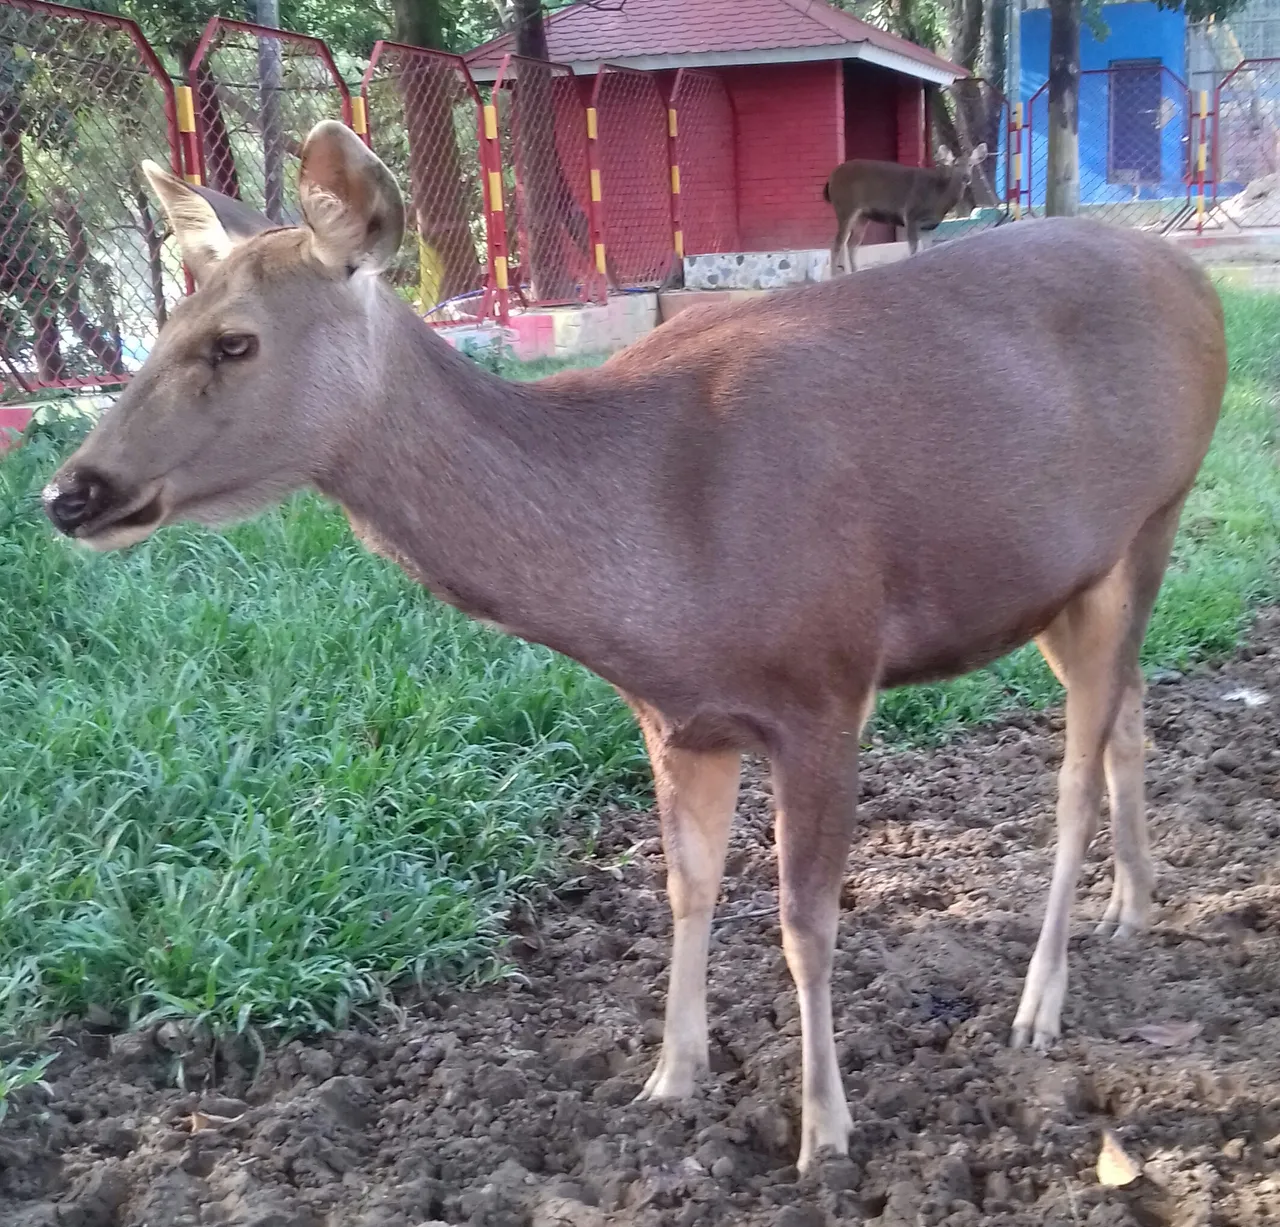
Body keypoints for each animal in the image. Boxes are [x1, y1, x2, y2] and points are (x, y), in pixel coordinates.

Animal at [824, 143, 989, 275]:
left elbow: (927, 249)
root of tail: (831, 177)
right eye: (956, 165)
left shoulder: (928, 226)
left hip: (863, 216)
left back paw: (854, 271)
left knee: (852, 244)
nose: (966, 178)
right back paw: (834, 276)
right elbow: (913, 248)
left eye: (971, 164)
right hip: (845, 206)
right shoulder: (910, 215)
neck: (938, 198)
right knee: (837, 244)